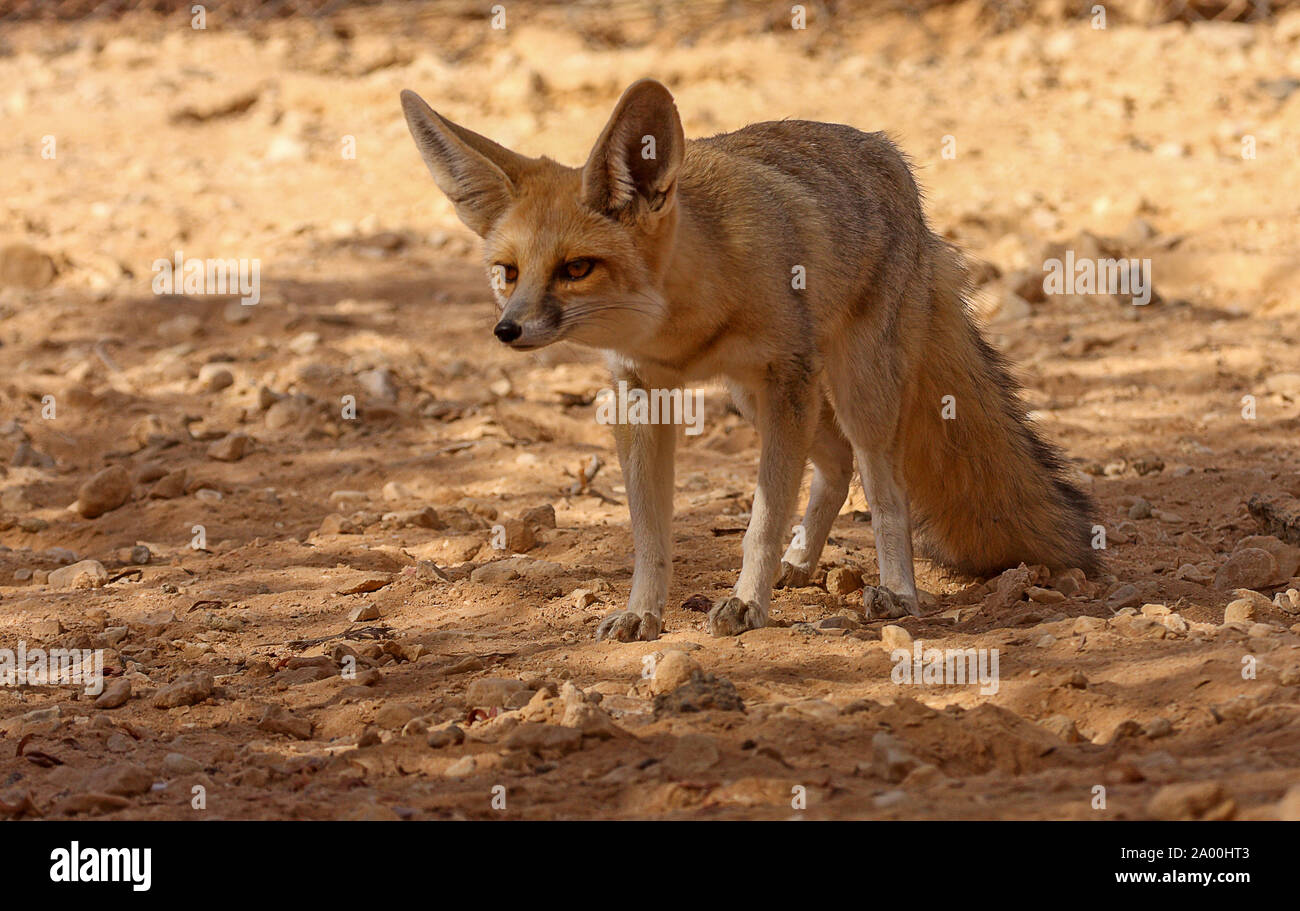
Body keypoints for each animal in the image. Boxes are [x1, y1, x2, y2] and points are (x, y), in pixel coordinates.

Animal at [399, 78, 1098, 642]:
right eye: (508, 272)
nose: (507, 329)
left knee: (882, 483)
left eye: (576, 269)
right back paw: (803, 564)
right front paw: (643, 612)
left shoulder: (787, 377)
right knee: (836, 465)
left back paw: (898, 593)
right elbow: (650, 533)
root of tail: (886, 152)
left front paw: (746, 605)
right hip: (754, 398)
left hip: (853, 391)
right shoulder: (640, 390)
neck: (683, 327)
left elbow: (762, 519)